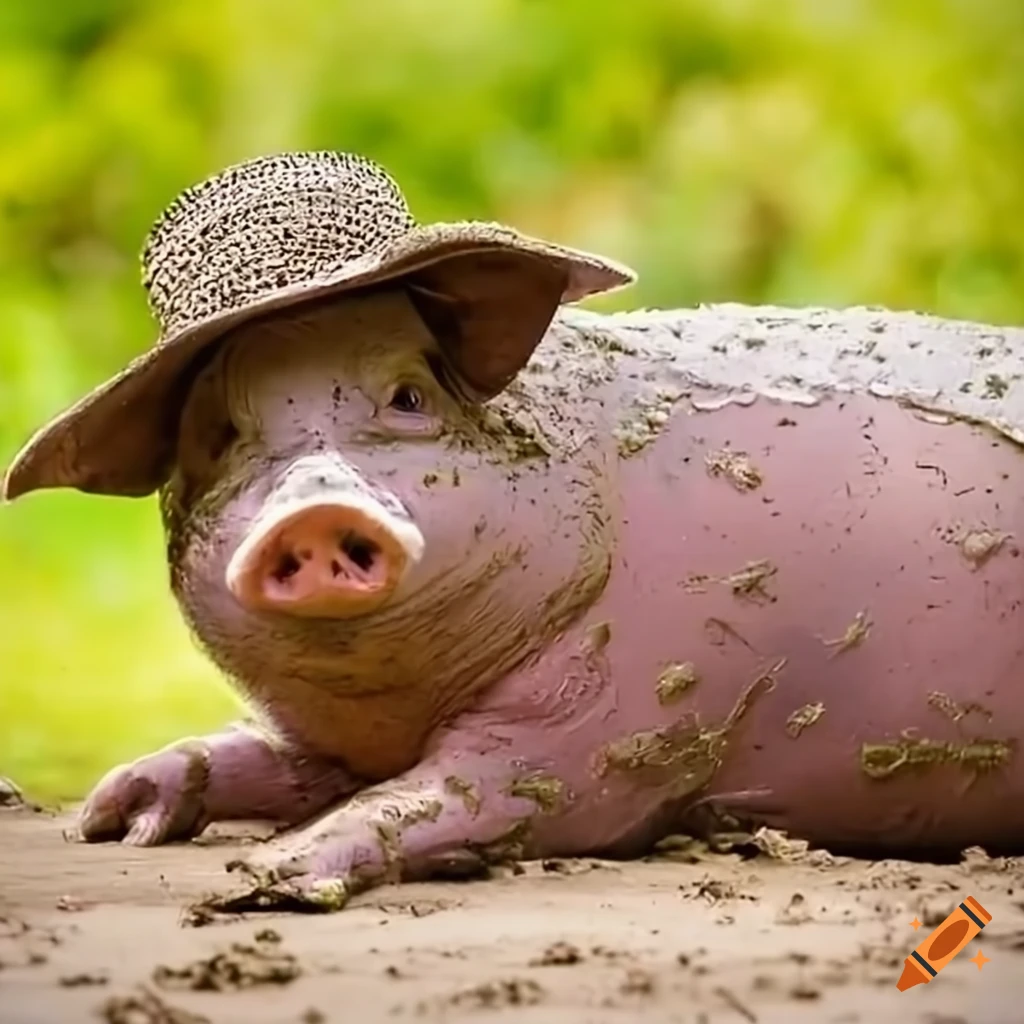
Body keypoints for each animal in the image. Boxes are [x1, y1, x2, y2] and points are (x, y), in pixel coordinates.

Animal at [31, 295, 1024, 906]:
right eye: (222, 436)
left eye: (408, 398)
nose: (311, 507)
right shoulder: (331, 744)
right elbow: (275, 757)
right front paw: (112, 819)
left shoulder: (639, 703)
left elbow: (481, 789)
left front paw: (264, 873)